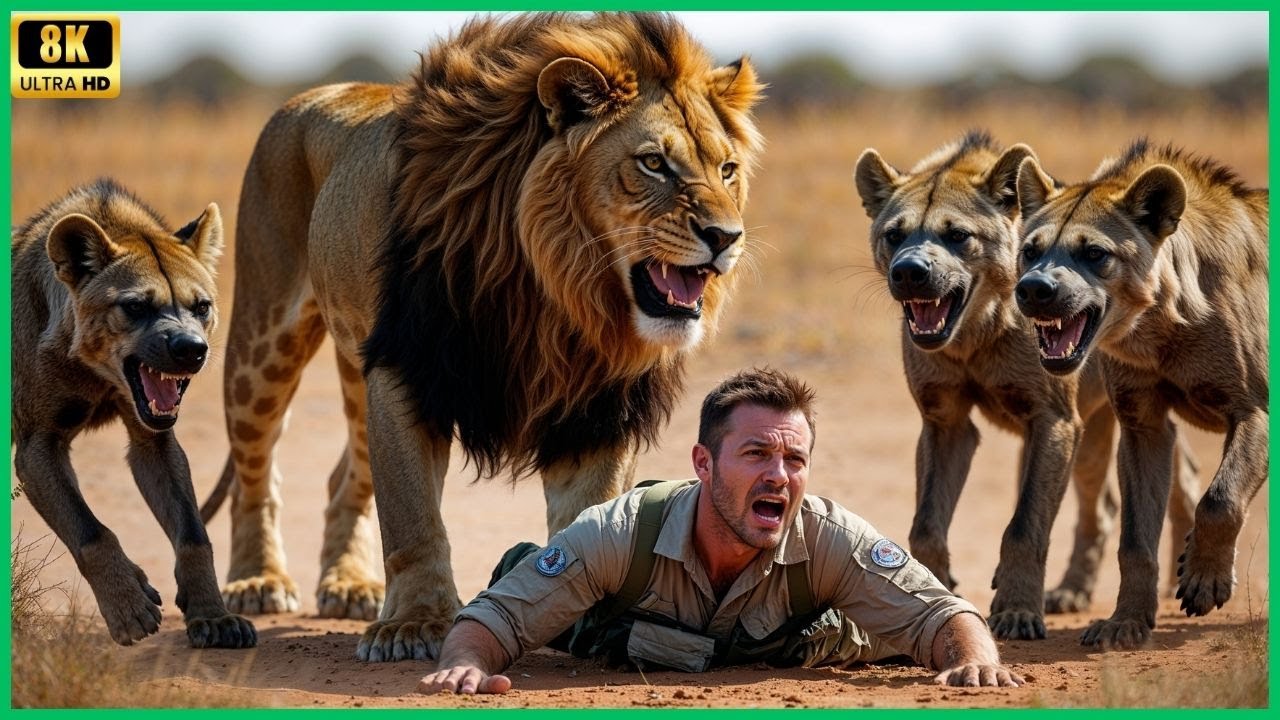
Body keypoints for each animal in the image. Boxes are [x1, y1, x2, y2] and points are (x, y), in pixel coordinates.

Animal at [11, 178, 255, 648]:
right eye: (136, 306)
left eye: (201, 306)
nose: (191, 349)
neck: (98, 374)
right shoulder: (37, 444)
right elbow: (91, 532)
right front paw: (129, 611)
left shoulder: (153, 438)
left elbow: (194, 535)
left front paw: (213, 616)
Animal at [199, 12, 763, 661]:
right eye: (652, 164)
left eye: (726, 169)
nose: (726, 237)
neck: (554, 291)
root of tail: (310, 95)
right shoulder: (406, 370)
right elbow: (413, 514)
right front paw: (414, 624)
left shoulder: (597, 404)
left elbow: (589, 510)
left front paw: (585, 614)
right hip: (262, 343)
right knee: (254, 472)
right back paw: (257, 580)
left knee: (345, 477)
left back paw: (350, 585)